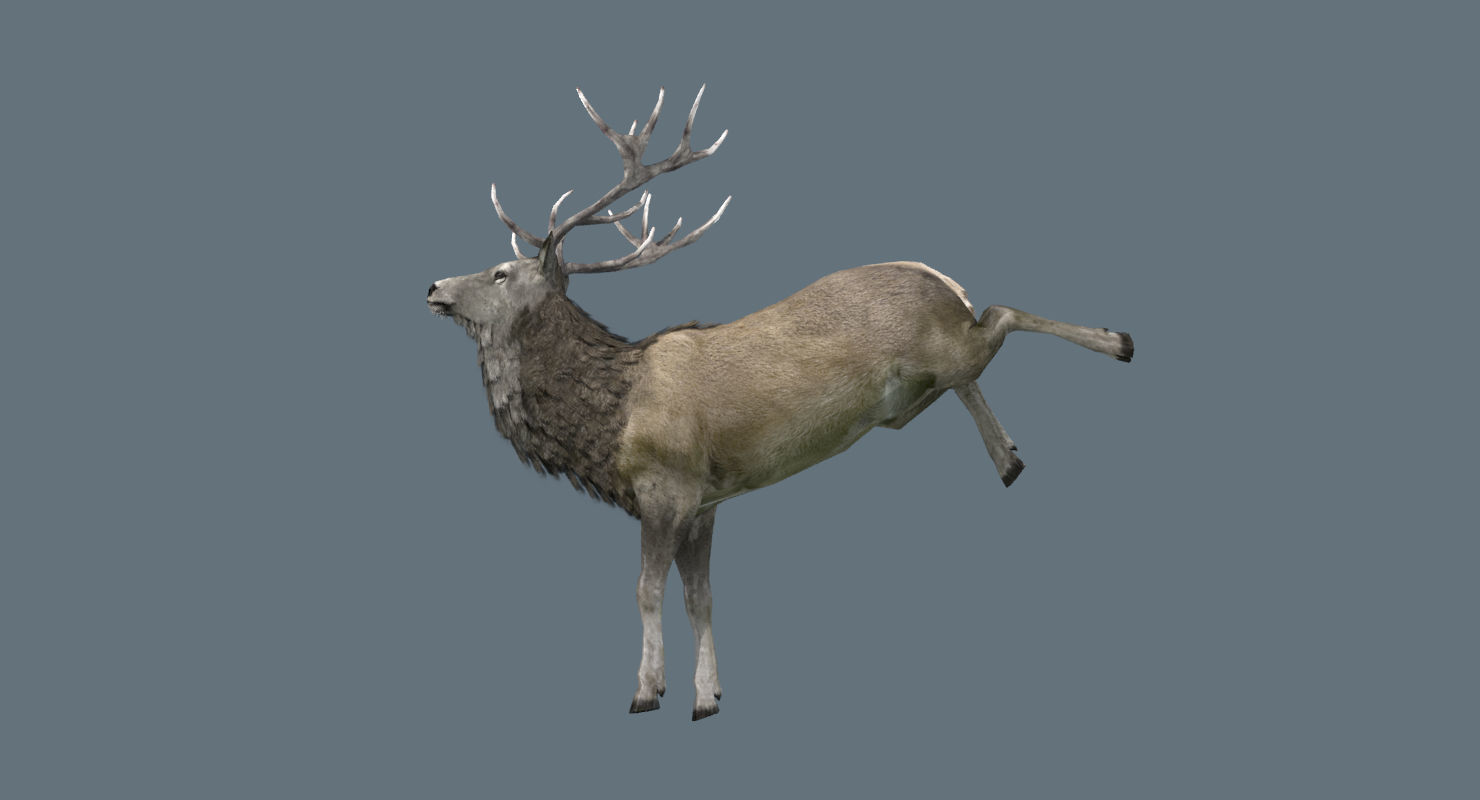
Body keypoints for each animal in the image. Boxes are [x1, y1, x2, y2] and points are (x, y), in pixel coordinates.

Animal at [426, 86, 1134, 721]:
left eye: (500, 273)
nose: (433, 286)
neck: (608, 426)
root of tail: (942, 279)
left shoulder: (666, 485)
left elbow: (647, 591)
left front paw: (646, 692)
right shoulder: (706, 501)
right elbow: (702, 599)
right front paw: (708, 697)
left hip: (945, 344)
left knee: (1002, 315)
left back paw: (1116, 343)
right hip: (912, 389)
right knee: (971, 358)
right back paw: (1009, 456)